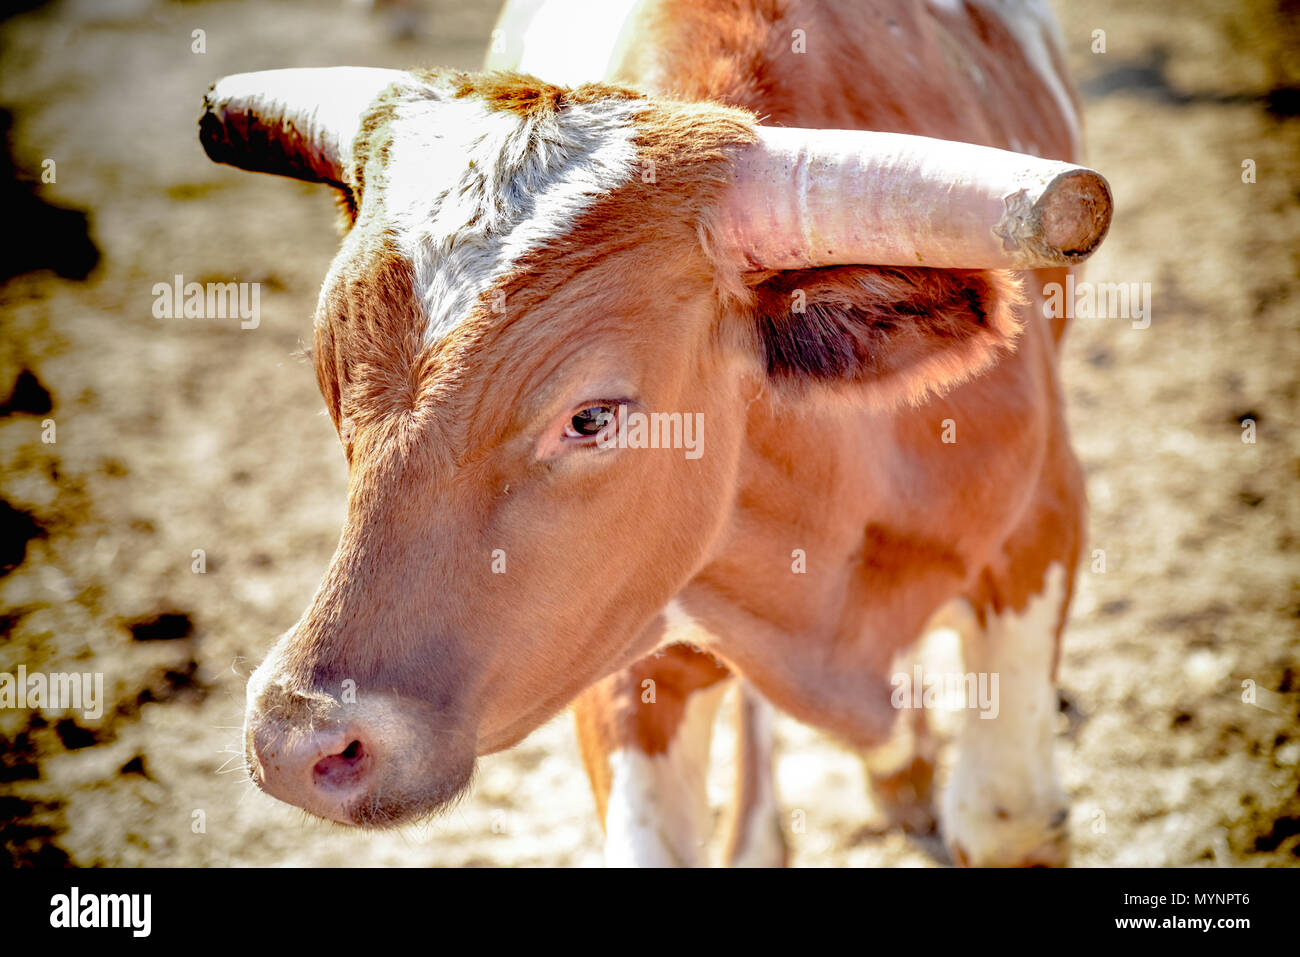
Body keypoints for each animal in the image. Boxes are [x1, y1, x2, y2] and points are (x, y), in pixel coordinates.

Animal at [199, 0, 1111, 867]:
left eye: (591, 416)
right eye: (330, 376)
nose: (296, 740)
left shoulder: (1041, 532)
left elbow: (1006, 821)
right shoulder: (620, 635)